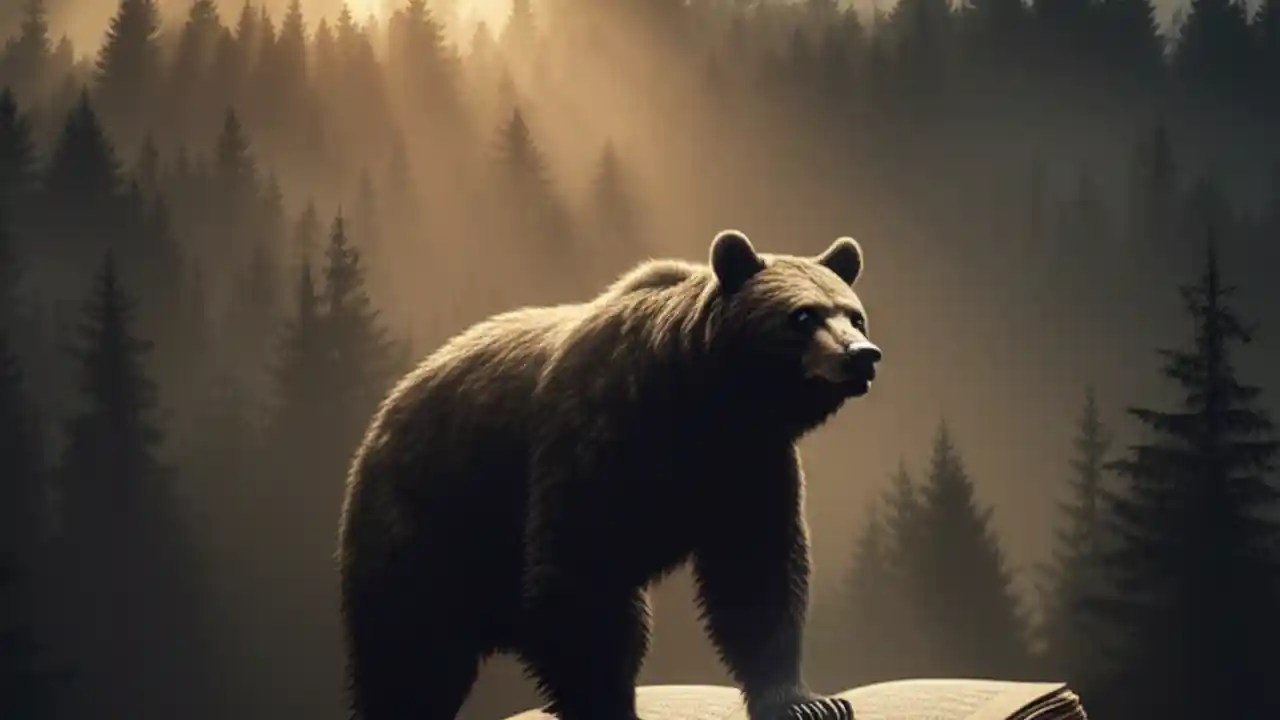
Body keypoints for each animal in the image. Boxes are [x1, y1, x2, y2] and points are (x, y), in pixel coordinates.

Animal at [337, 230, 882, 720]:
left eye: (854, 314)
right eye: (803, 315)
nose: (862, 354)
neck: (705, 401)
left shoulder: (745, 461)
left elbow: (756, 569)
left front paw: (808, 702)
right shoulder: (597, 432)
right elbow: (581, 574)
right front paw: (607, 703)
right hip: (427, 521)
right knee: (411, 651)